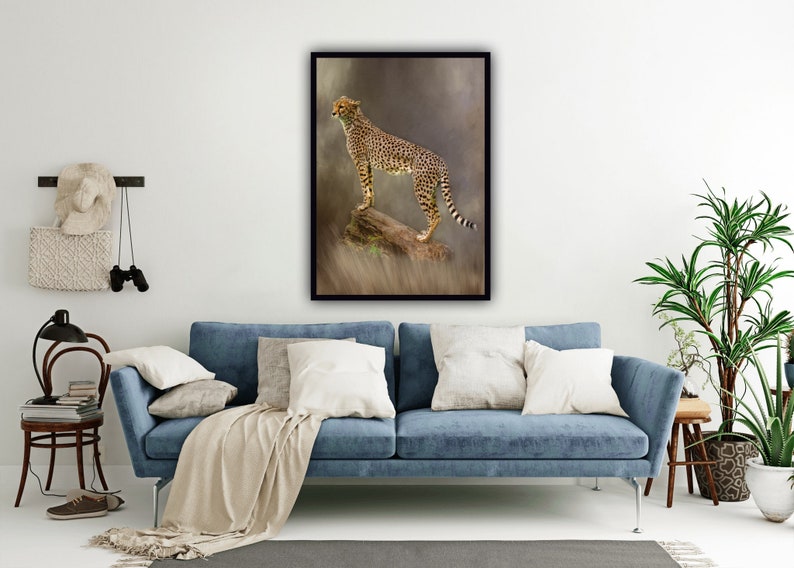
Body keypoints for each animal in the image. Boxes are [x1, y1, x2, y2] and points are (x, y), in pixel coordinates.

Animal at [331, 96, 478, 243]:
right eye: (334, 104)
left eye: (342, 106)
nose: (333, 113)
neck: (352, 120)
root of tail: (439, 158)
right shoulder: (367, 164)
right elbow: (369, 186)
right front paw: (369, 206)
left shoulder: (360, 162)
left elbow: (364, 185)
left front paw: (363, 206)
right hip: (430, 190)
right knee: (436, 213)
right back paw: (426, 234)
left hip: (421, 189)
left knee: (434, 215)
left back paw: (424, 239)